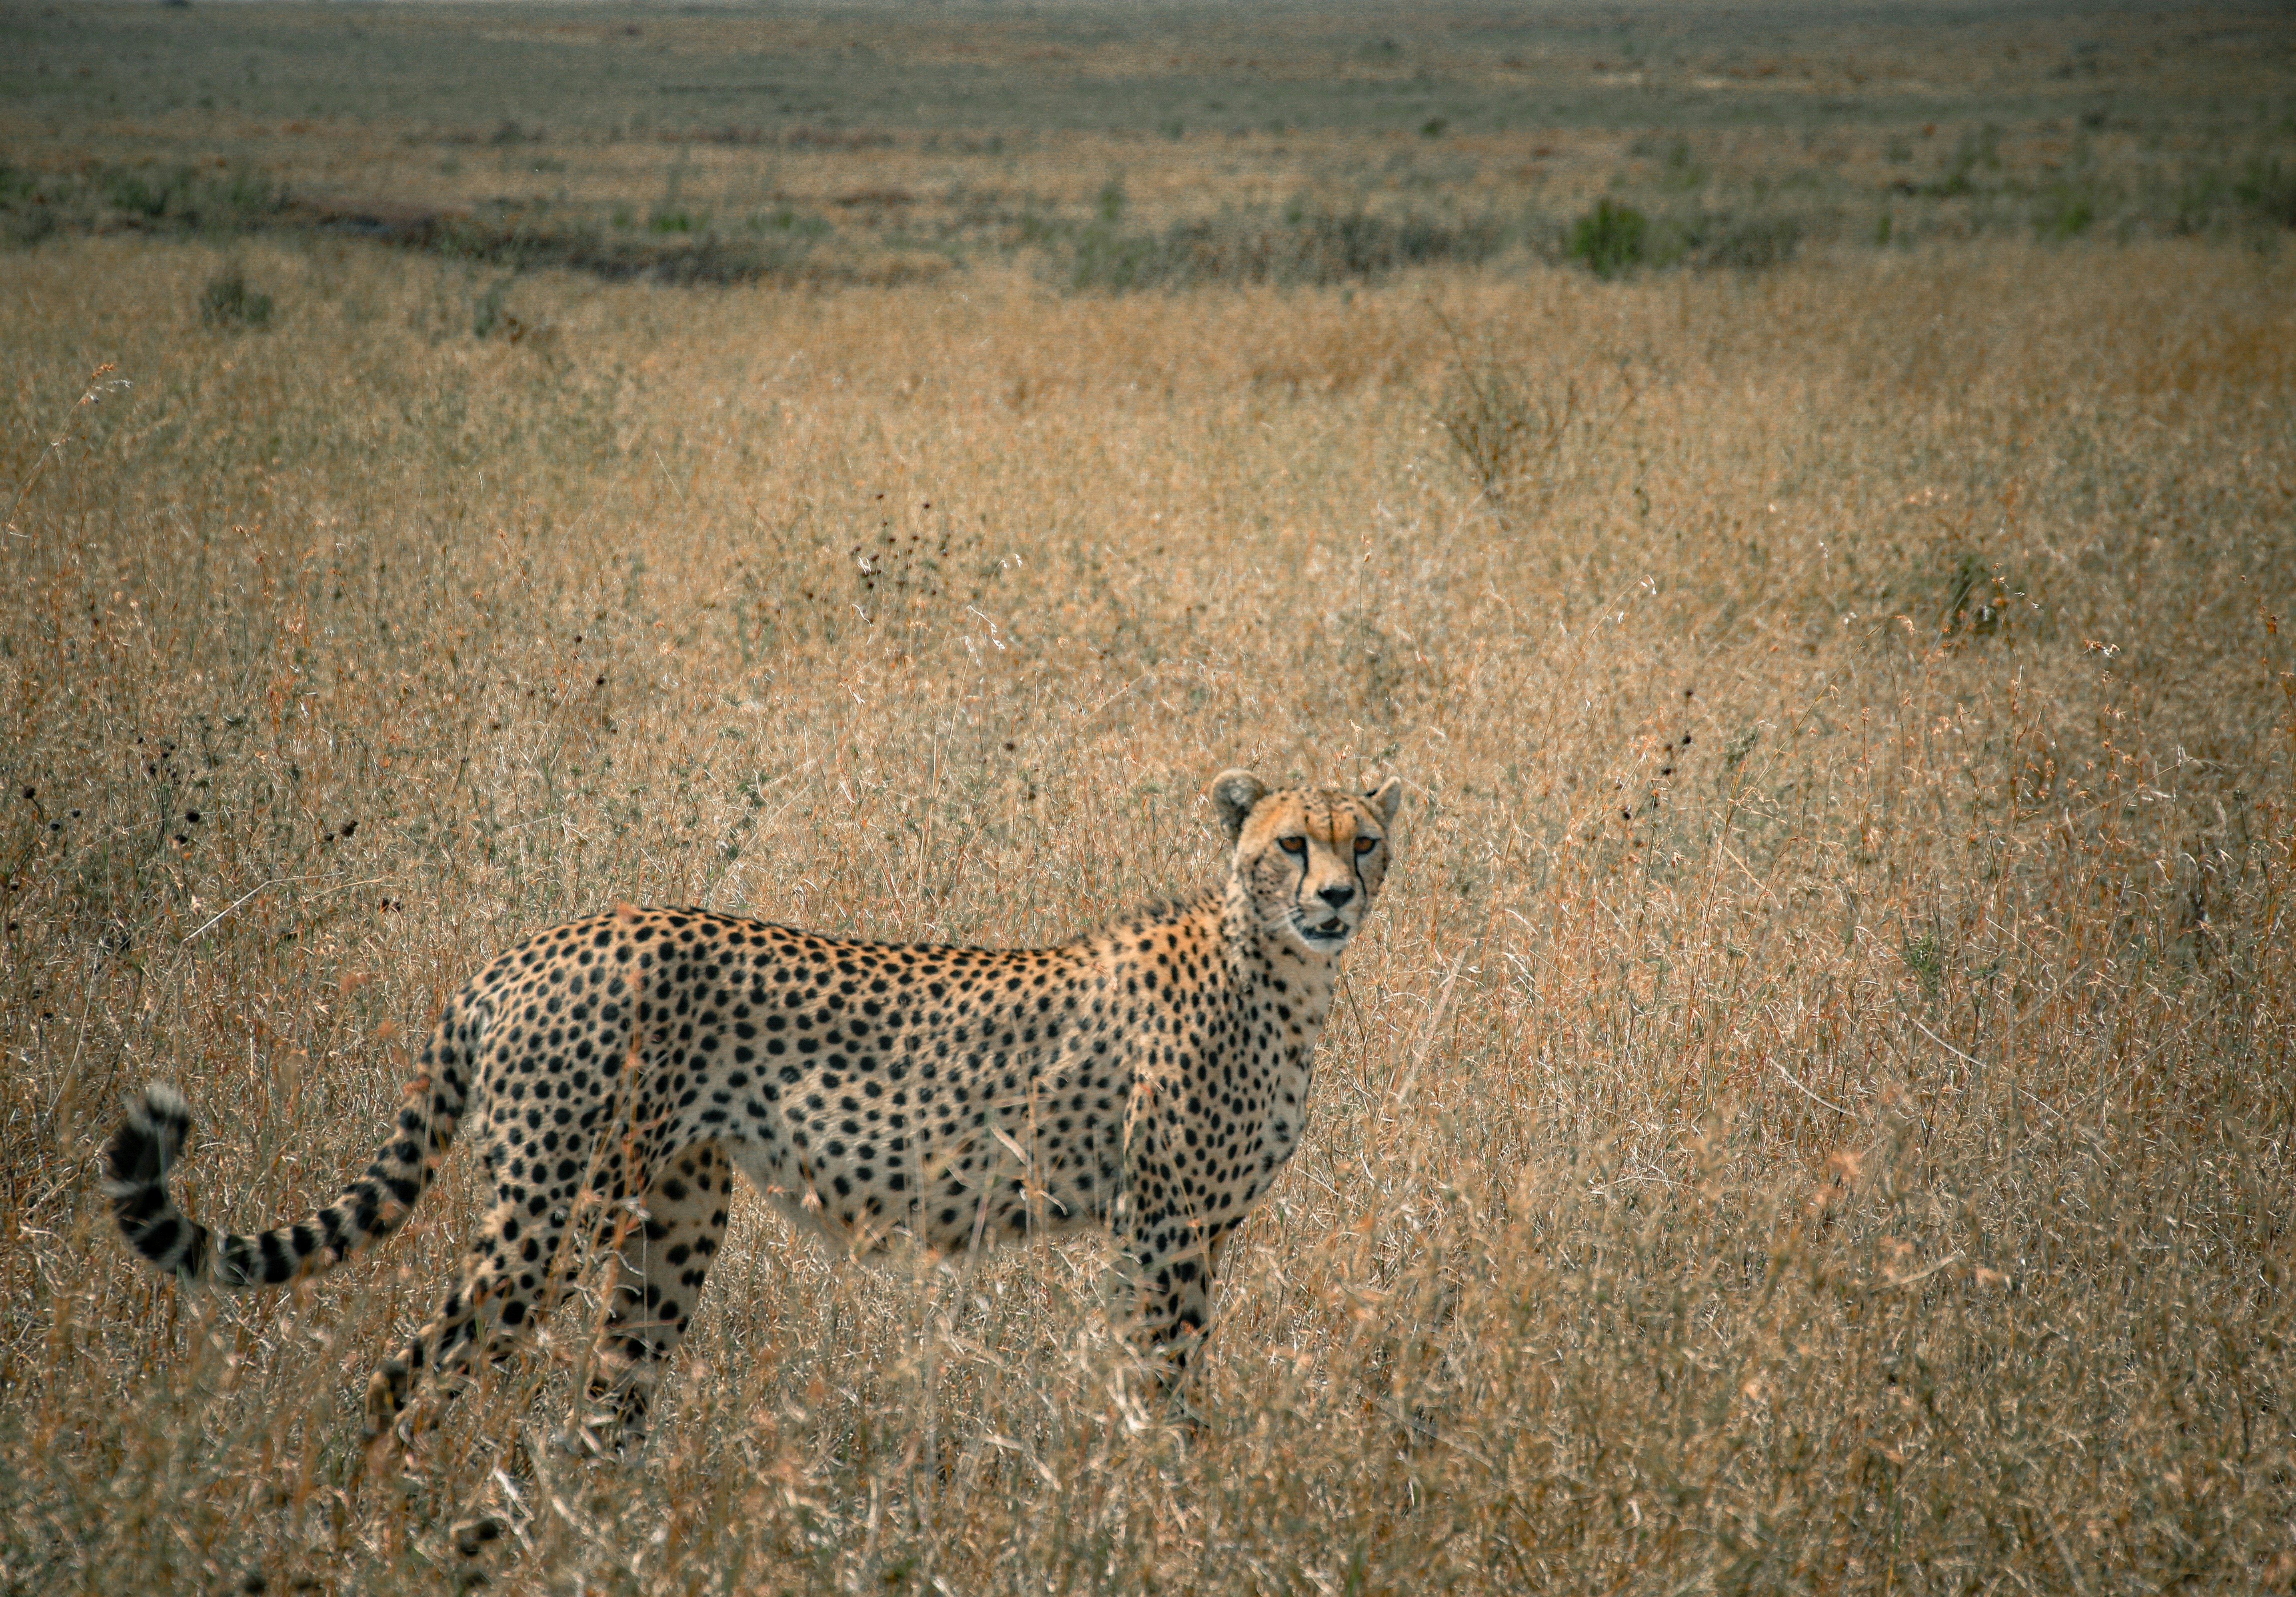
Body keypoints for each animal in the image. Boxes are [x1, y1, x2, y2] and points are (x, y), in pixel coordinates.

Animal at [103, 768, 1404, 1446]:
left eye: (1367, 842)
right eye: (1291, 843)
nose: (1338, 897)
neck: (1279, 970)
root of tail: (535, 943)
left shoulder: (1196, 1229)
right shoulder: (1166, 1228)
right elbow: (1165, 1382)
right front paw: (1166, 1491)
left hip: (671, 1219)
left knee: (606, 1399)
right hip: (556, 1215)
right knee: (412, 1366)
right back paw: (384, 1514)